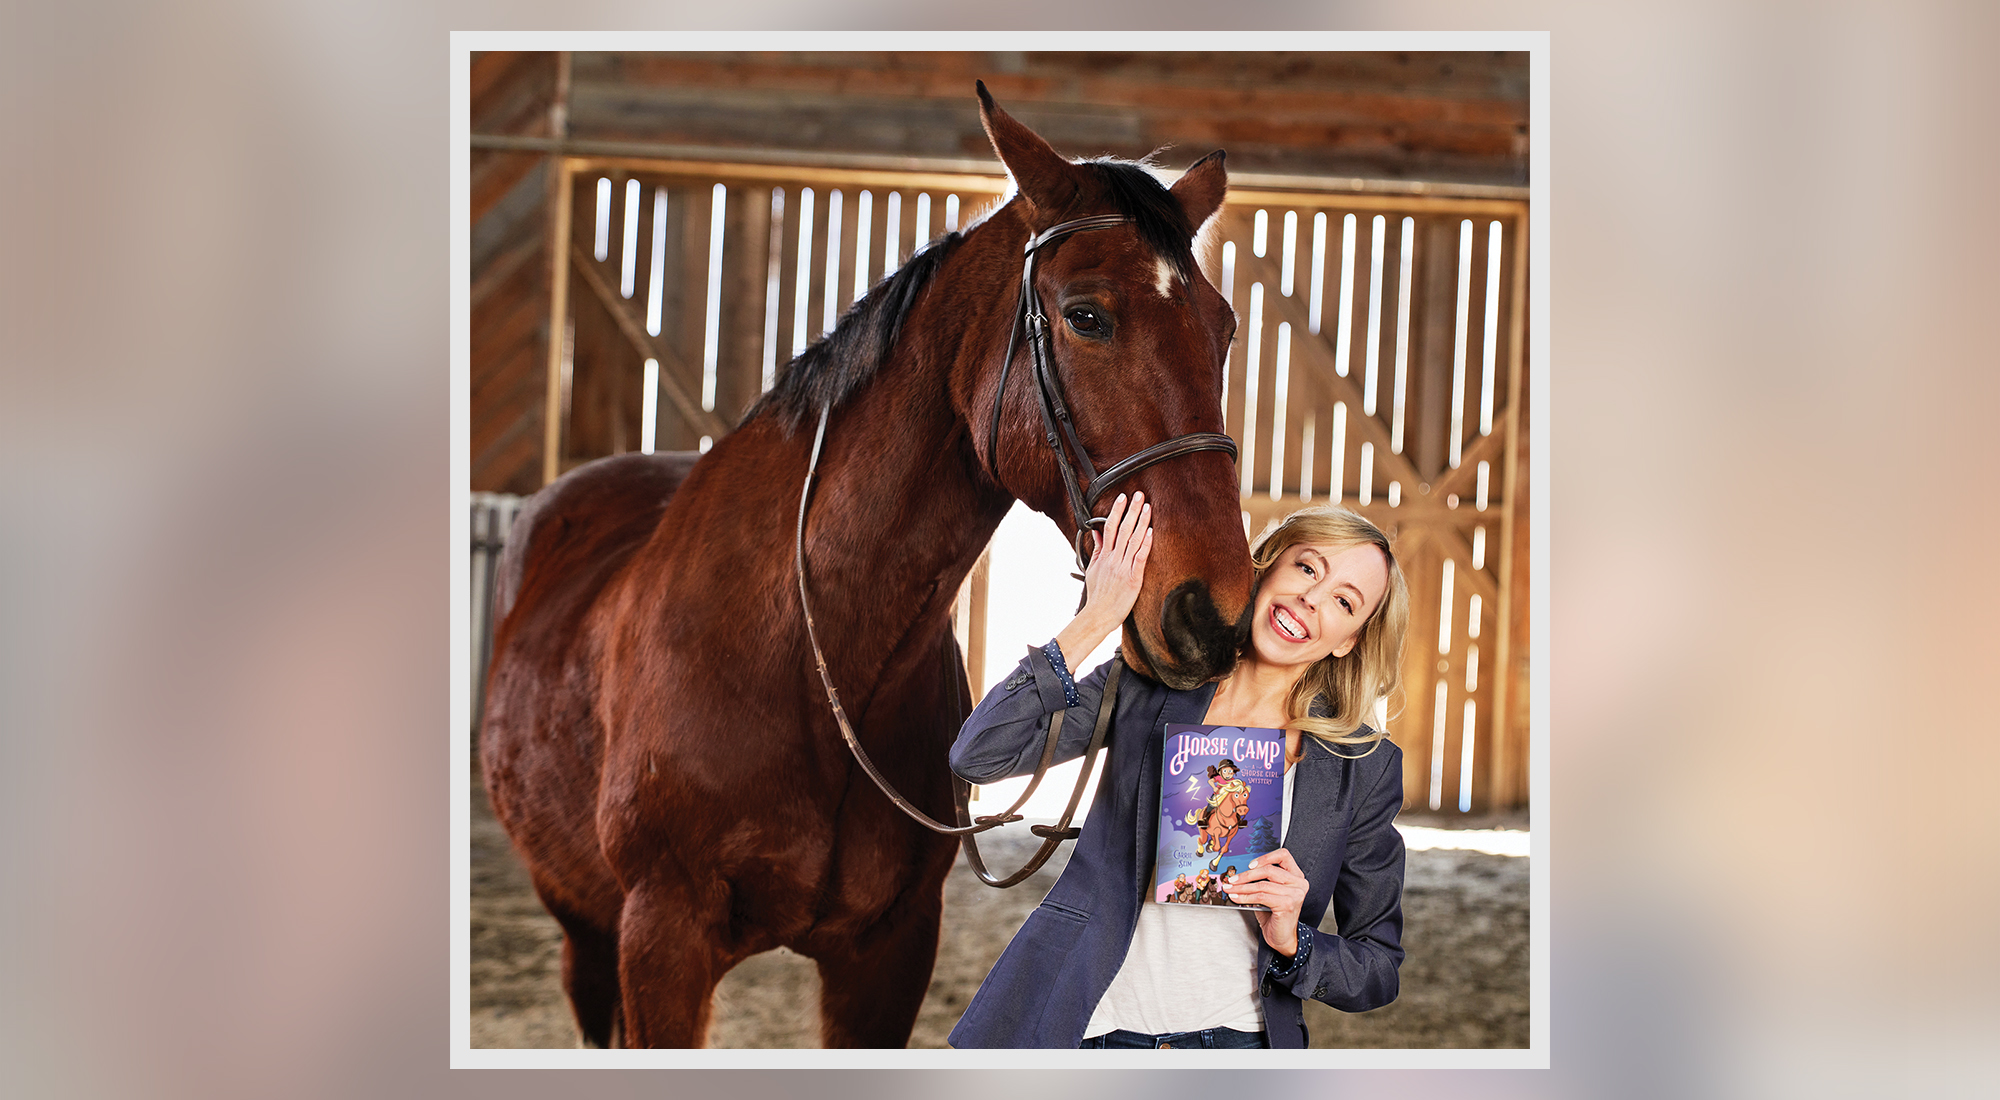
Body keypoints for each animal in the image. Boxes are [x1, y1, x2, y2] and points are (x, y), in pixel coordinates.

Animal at [479, 84, 1253, 1048]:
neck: (807, 663)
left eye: (1223, 327)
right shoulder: (662, 940)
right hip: (583, 924)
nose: (1213, 614)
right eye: (1086, 315)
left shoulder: (890, 954)